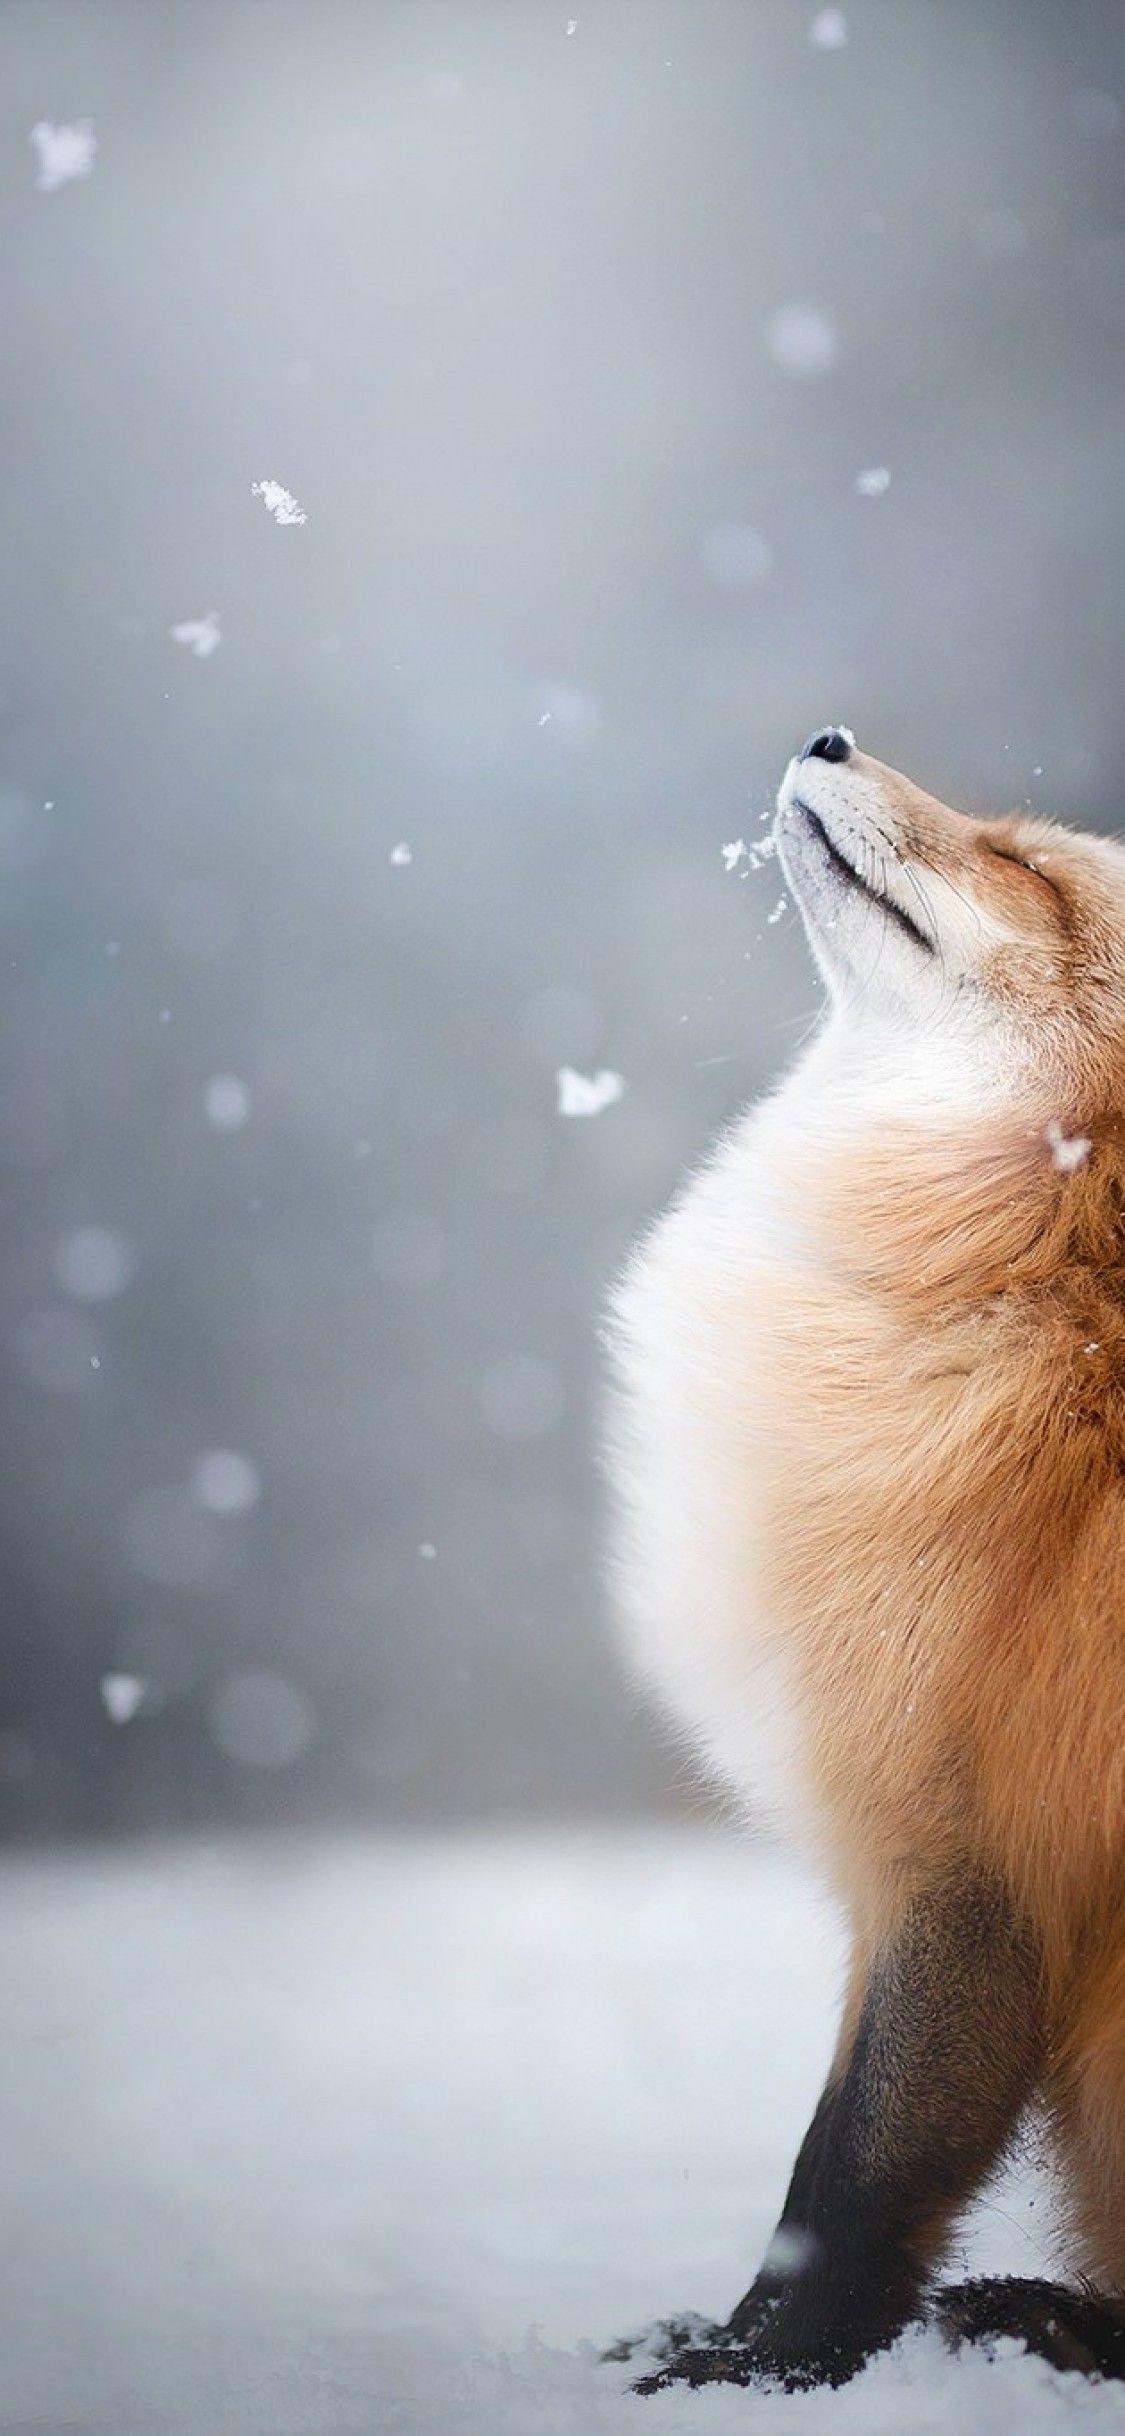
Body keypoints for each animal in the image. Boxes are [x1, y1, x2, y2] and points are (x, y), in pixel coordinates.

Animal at [606, 727, 1125, 2391]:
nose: (829, 738)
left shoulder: (966, 1864)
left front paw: (753, 2378)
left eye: (1022, 867)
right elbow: (817, 2171)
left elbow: (850, 2186)